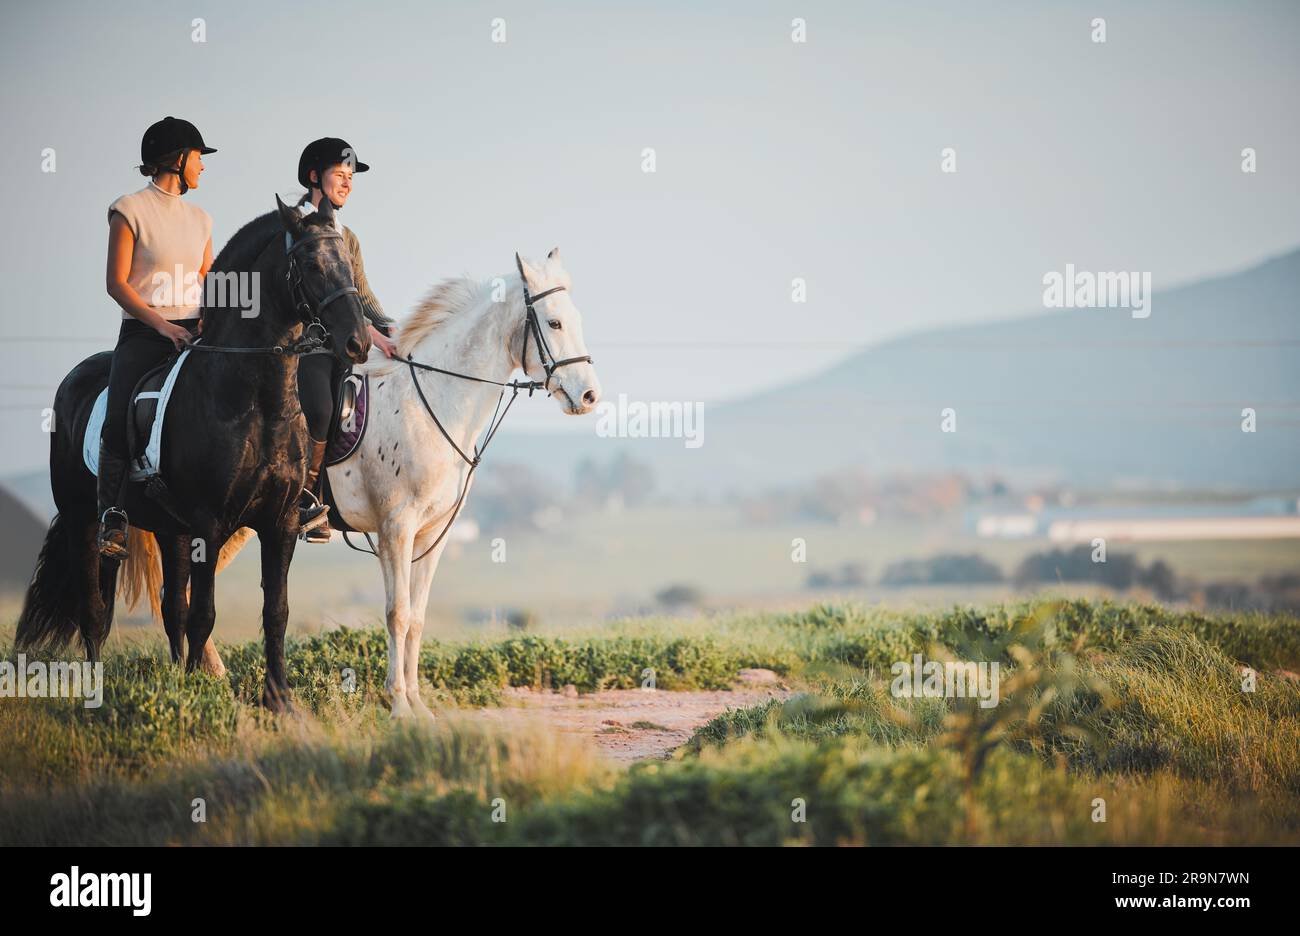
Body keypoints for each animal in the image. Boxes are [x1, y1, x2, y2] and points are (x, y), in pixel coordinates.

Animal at [15, 196, 371, 710]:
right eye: (308, 263)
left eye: (346, 260)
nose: (357, 342)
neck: (255, 399)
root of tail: (75, 378)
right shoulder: (210, 522)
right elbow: (205, 613)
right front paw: (203, 694)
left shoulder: (280, 522)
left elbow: (275, 610)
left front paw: (278, 698)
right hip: (86, 518)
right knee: (96, 610)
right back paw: (96, 689)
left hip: (168, 529)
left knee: (168, 606)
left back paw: (173, 674)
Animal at [189, 248, 601, 717]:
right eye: (554, 323)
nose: (589, 396)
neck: (434, 401)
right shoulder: (396, 528)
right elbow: (397, 613)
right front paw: (400, 705)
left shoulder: (432, 534)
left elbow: (416, 616)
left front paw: (417, 704)